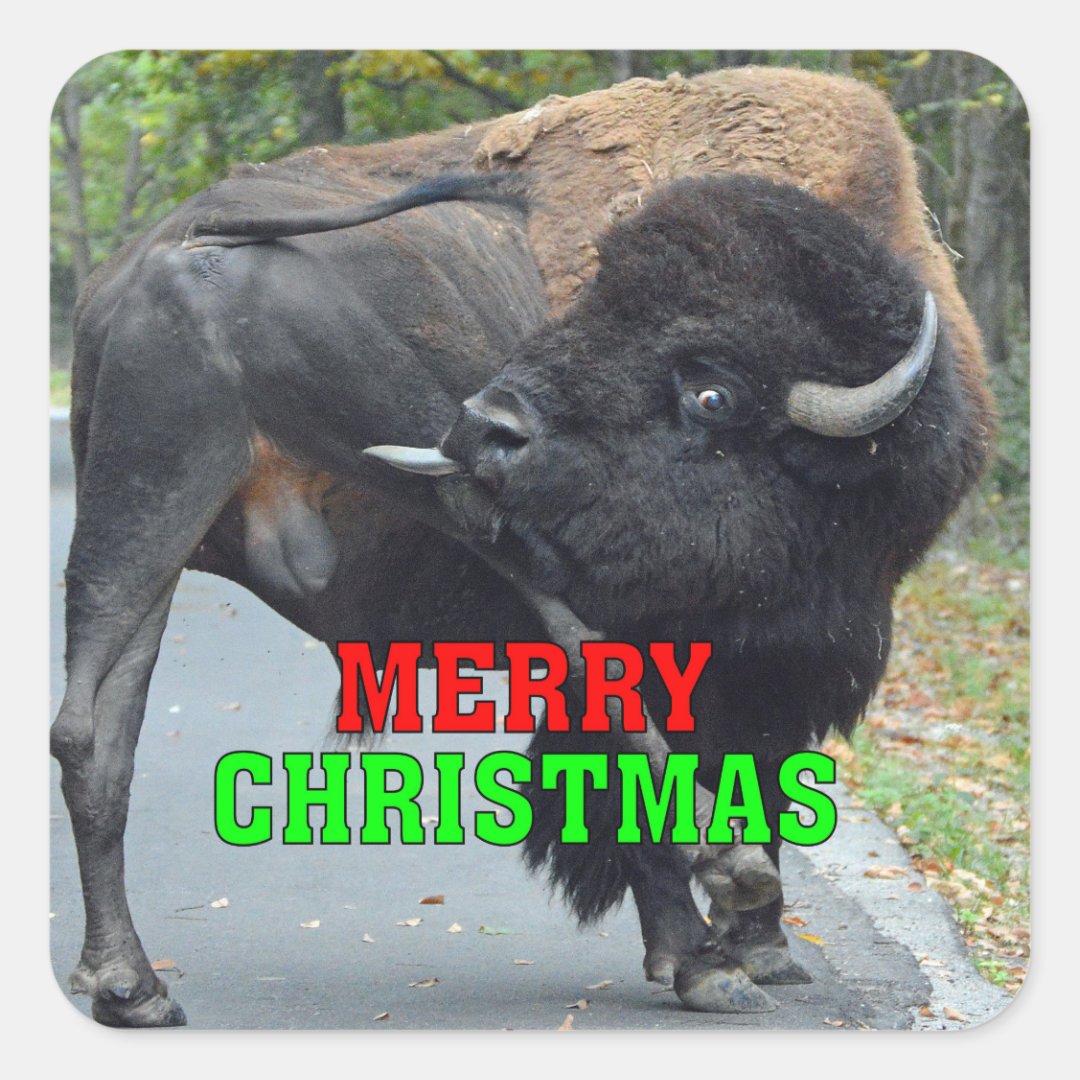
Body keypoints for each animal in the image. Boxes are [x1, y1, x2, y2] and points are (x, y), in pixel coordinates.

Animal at [50, 67, 993, 1027]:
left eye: (712, 393)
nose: (487, 422)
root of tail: (176, 249)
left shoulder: (771, 668)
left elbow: (752, 768)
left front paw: (750, 952)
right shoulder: (710, 657)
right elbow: (644, 776)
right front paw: (714, 957)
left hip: (147, 514)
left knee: (93, 731)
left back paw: (129, 986)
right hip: (432, 468)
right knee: (571, 635)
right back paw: (728, 873)